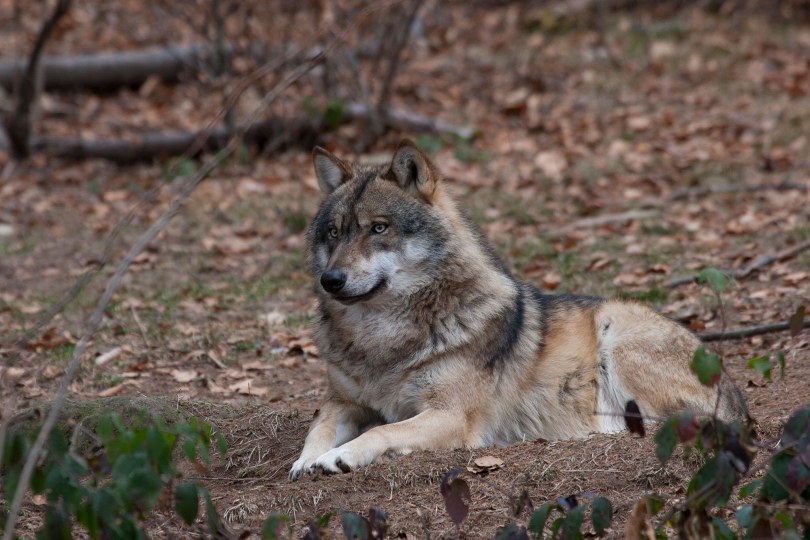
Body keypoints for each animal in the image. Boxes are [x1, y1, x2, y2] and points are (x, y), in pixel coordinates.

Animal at [288, 140, 748, 479]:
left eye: (378, 228)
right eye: (334, 233)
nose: (331, 280)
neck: (382, 342)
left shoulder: (450, 416)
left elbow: (384, 429)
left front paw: (341, 455)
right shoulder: (342, 401)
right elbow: (319, 427)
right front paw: (306, 460)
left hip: (617, 330)